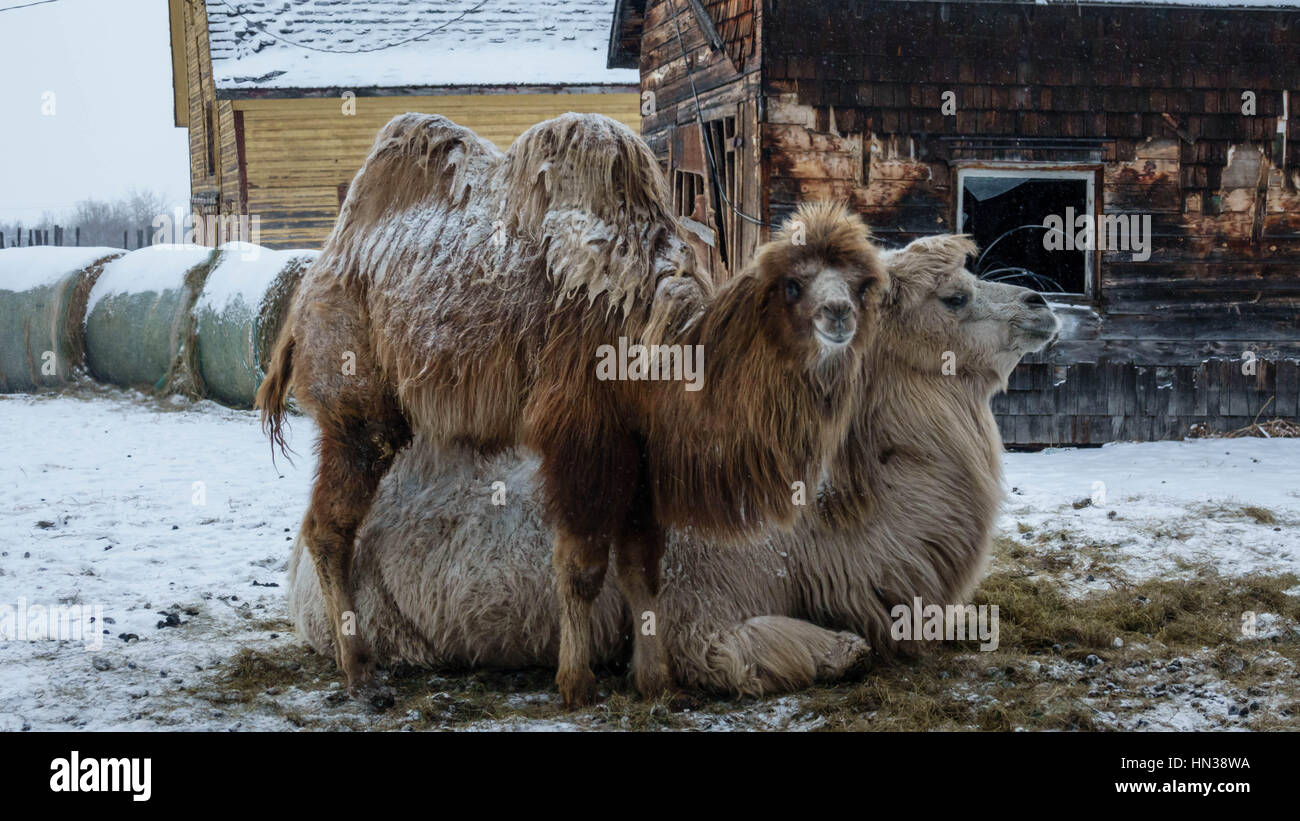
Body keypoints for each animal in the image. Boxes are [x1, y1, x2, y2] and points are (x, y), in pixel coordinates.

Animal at [257, 111, 886, 705]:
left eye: (862, 284)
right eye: (794, 284)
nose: (838, 317)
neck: (657, 339)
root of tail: (318, 271)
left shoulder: (640, 449)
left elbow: (643, 569)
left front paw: (657, 684)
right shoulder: (582, 435)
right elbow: (582, 567)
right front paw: (578, 683)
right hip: (355, 405)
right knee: (330, 524)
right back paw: (360, 672)